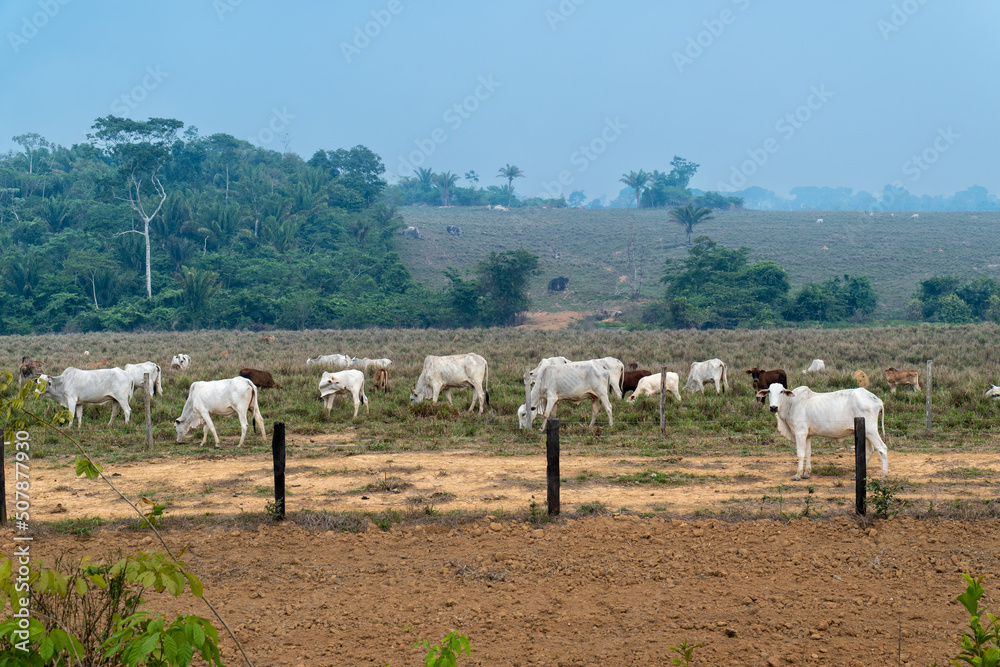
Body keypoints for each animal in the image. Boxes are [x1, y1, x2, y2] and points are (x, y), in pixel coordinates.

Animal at [757, 383, 888, 481]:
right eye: (769, 391)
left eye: (781, 391)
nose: (773, 407)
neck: (792, 404)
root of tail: (876, 399)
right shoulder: (808, 435)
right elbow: (808, 453)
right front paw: (806, 473)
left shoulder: (800, 433)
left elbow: (800, 454)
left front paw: (797, 475)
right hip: (866, 433)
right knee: (869, 451)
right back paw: (857, 476)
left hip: (871, 431)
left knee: (882, 448)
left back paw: (884, 476)